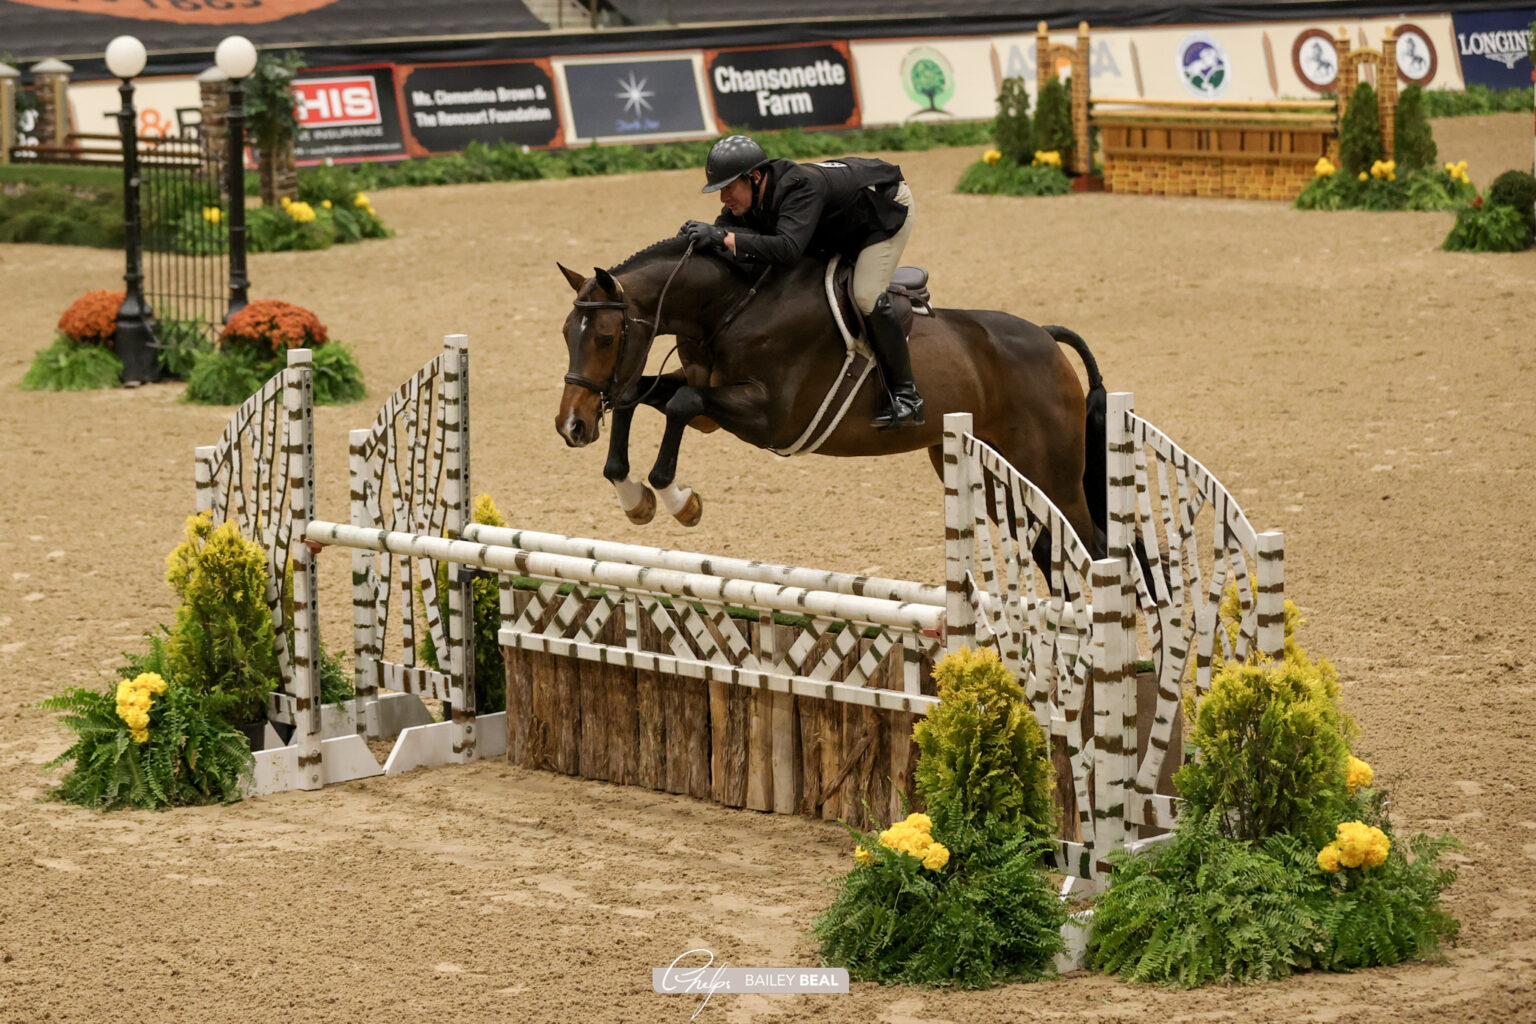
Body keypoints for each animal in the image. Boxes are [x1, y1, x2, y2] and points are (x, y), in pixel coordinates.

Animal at [555, 235, 1108, 558]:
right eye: (566, 333)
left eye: (604, 336)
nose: (571, 427)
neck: (733, 305)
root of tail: (1046, 338)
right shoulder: (712, 400)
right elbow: (637, 395)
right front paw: (634, 498)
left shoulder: (768, 416)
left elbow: (679, 404)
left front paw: (679, 500)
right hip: (993, 477)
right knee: (1048, 549)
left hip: (1054, 475)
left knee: (1092, 544)